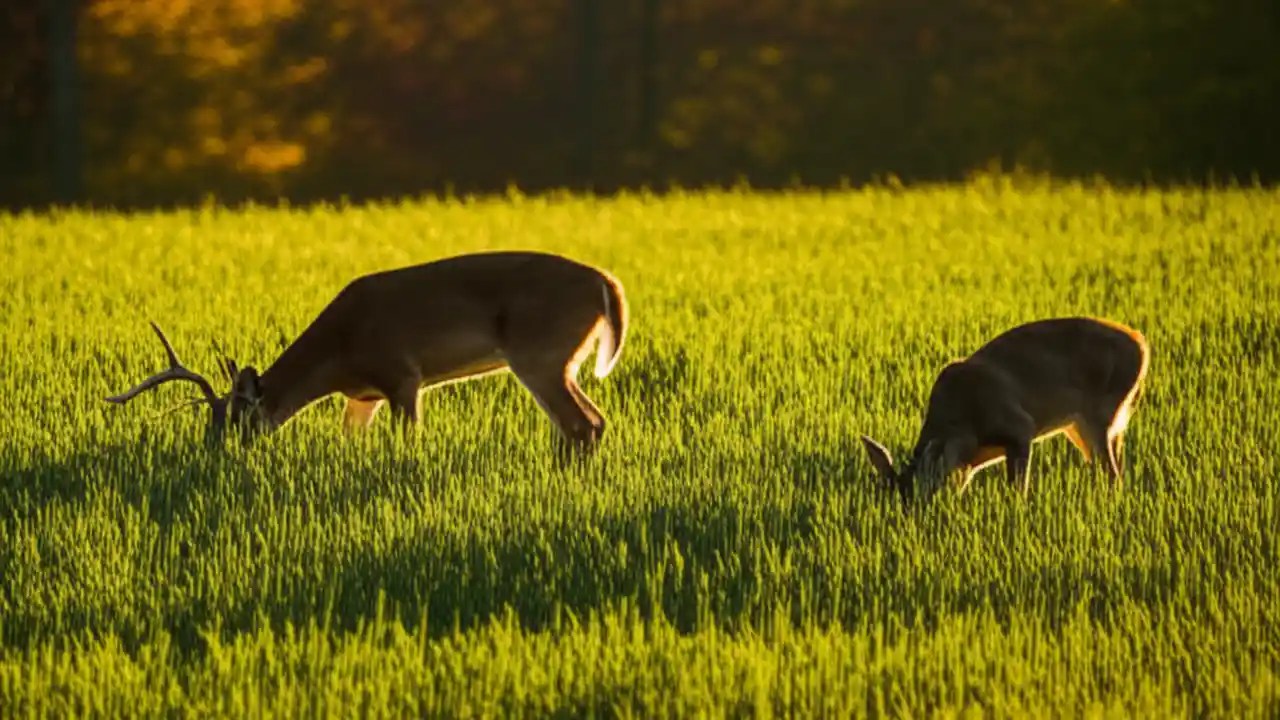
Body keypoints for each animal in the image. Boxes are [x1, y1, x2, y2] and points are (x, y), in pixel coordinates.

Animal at [105, 251, 629, 455]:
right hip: (557, 361)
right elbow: (351, 440)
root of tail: (607, 283)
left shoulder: (403, 376)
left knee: (583, 425)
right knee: (588, 423)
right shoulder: (362, 395)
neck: (340, 351)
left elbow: (407, 440)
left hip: (540, 355)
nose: (213, 451)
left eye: (237, 417)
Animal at [860, 317, 1149, 501]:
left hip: (1099, 415)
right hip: (1086, 426)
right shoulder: (967, 464)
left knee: (1112, 473)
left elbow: (1017, 489)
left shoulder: (1020, 428)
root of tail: (1141, 345)